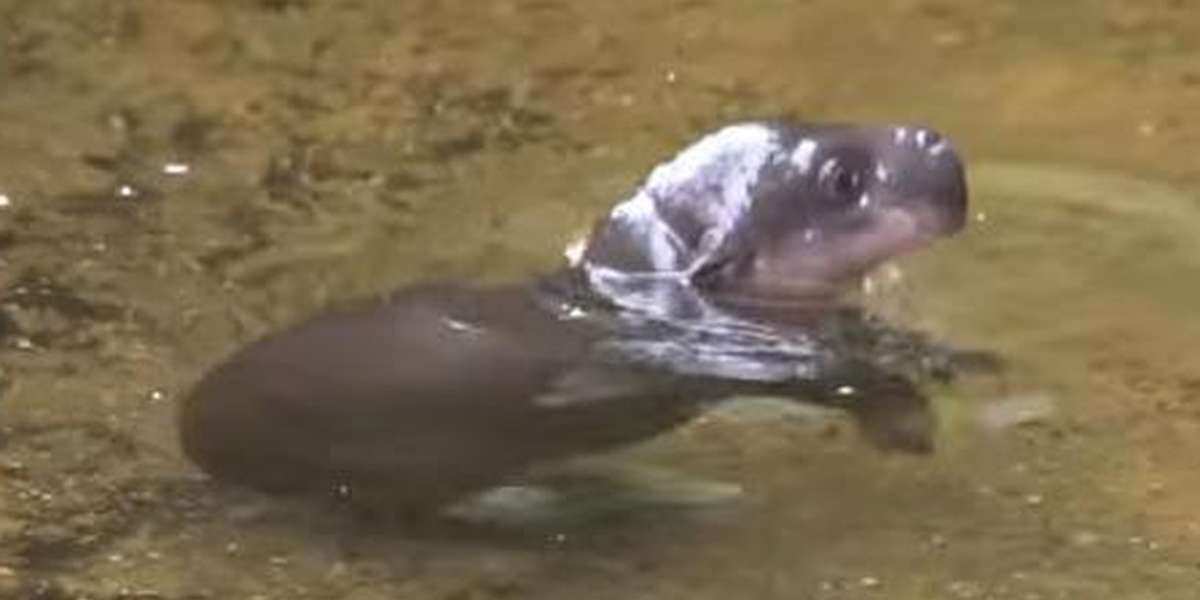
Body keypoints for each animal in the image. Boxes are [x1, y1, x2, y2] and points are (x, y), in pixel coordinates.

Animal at [179, 121, 969, 514]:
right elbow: (842, 379)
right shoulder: (737, 362)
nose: (937, 145)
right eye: (843, 179)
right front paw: (907, 416)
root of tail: (194, 432)